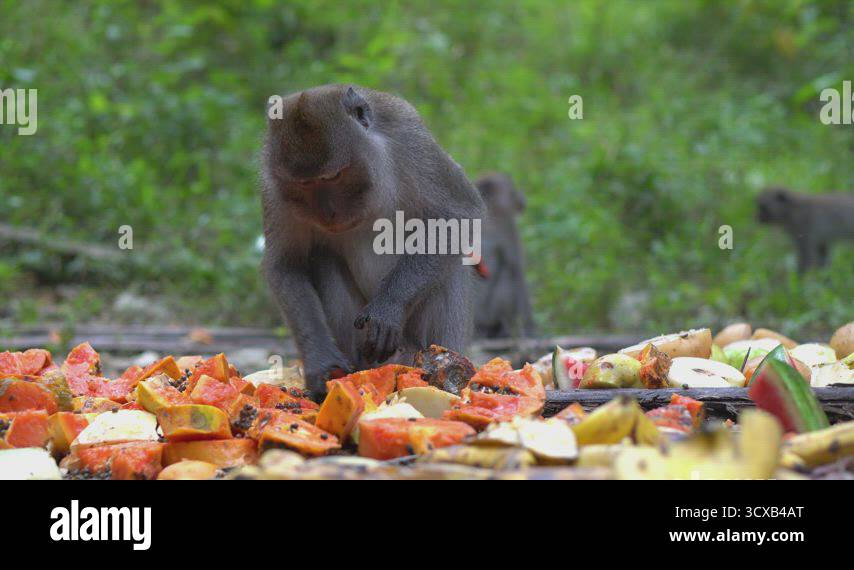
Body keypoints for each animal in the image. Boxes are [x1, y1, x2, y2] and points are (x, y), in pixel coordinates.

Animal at [261, 85, 484, 399]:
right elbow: (286, 265)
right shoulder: (272, 183)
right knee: (322, 256)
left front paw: (388, 308)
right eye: (305, 184)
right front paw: (320, 360)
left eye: (334, 176)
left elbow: (457, 214)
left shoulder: (410, 140)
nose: (328, 212)